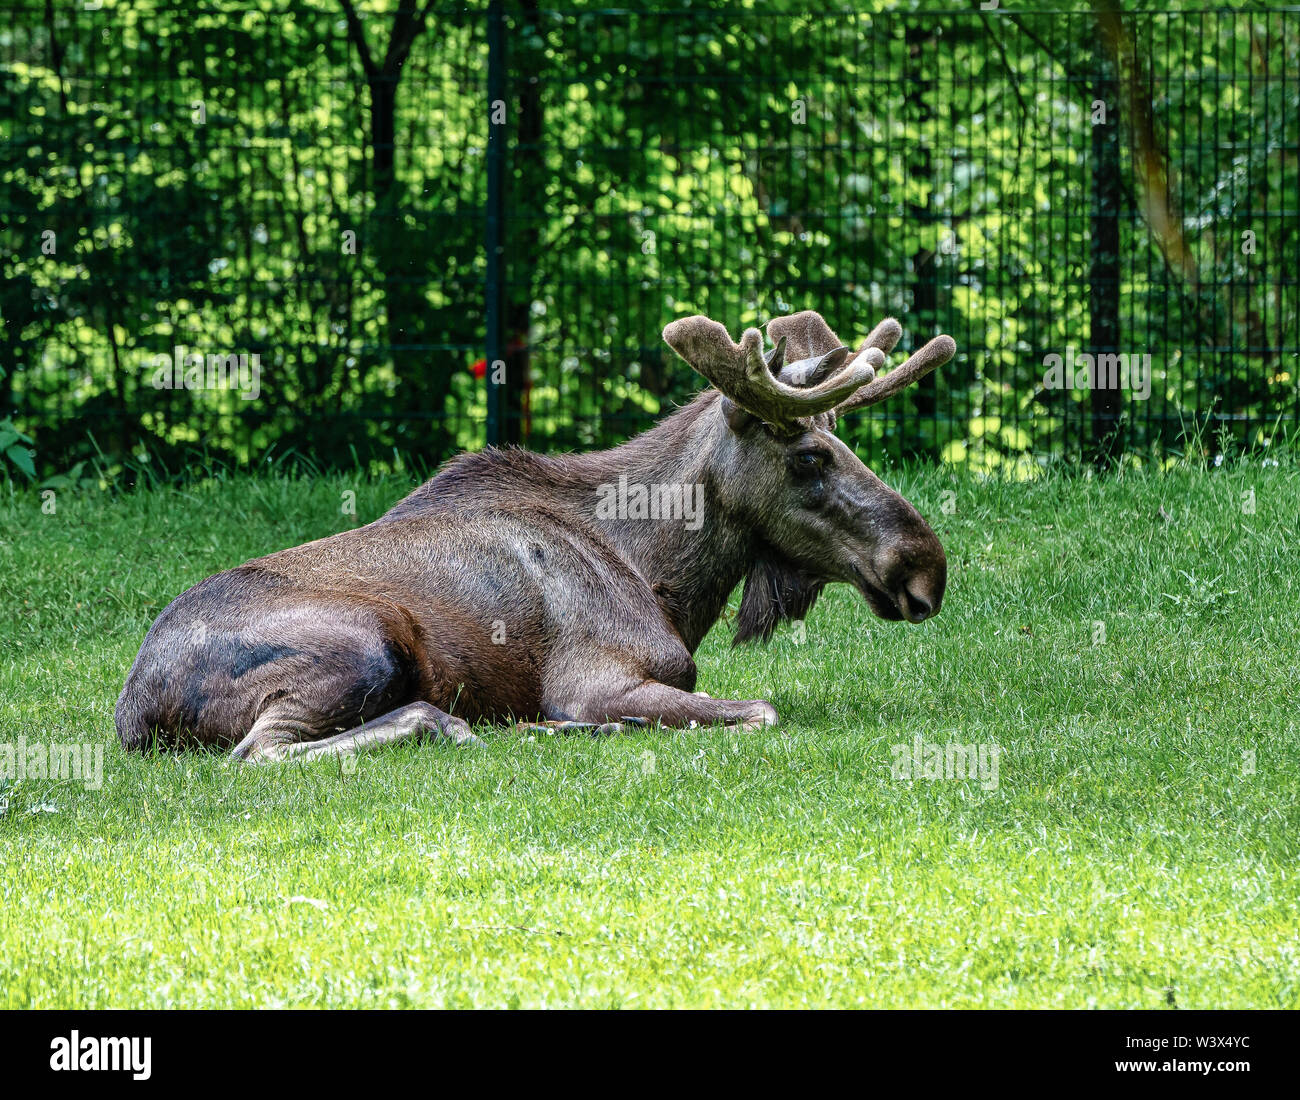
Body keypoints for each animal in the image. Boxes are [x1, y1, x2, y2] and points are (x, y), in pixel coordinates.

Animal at [115, 310, 957, 762]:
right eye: (809, 456)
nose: (926, 568)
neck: (666, 579)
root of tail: (130, 711)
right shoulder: (599, 675)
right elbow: (760, 711)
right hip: (363, 642)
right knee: (261, 751)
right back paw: (452, 724)